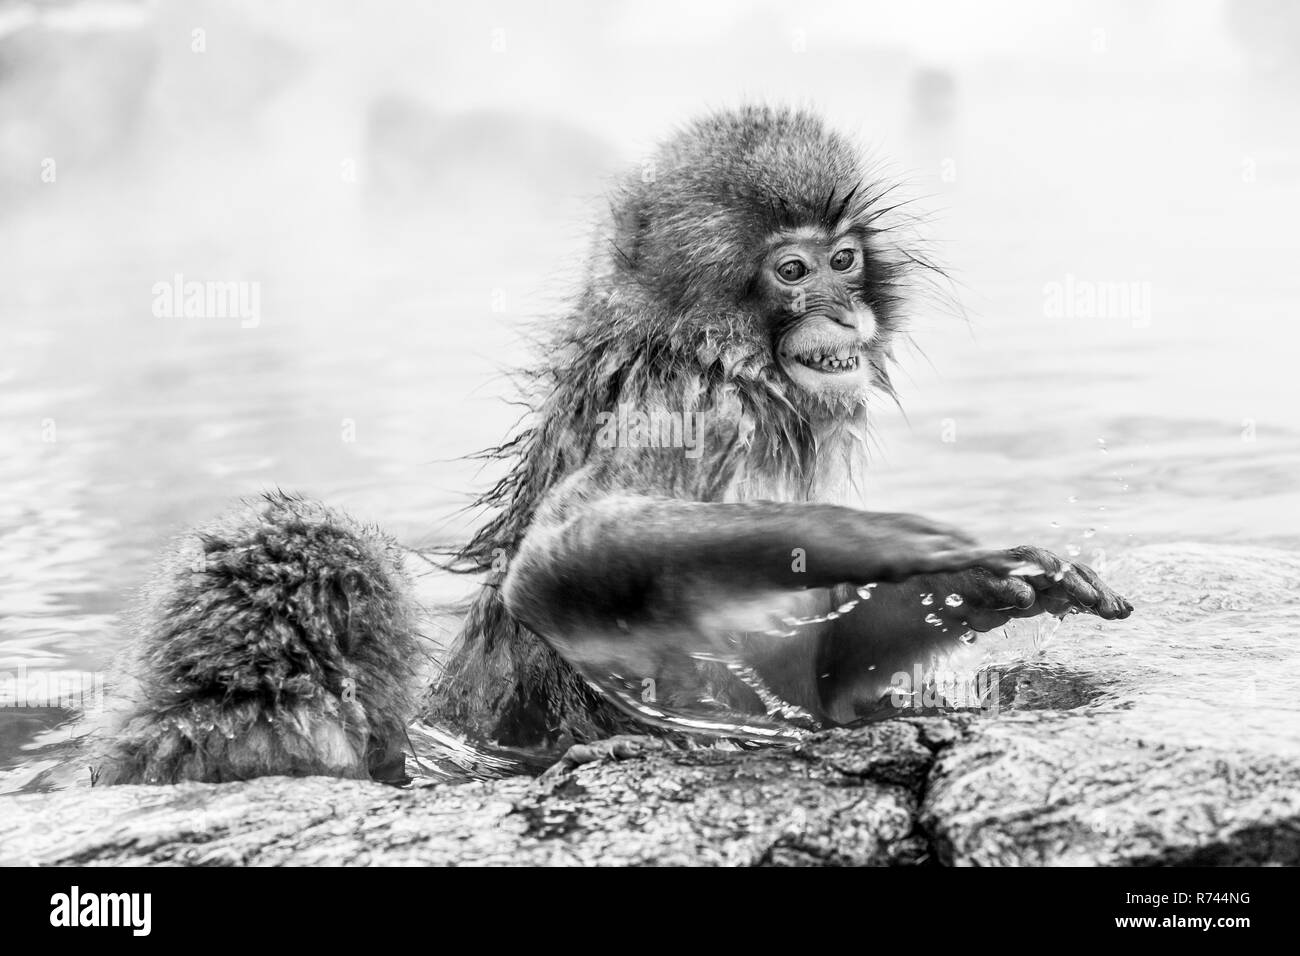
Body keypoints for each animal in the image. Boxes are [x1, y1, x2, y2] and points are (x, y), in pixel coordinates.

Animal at [99, 106, 1130, 785]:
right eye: (792, 271)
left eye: (845, 259)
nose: (843, 309)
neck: (720, 353)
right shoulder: (694, 406)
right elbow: (562, 555)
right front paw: (898, 540)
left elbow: (830, 671)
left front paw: (992, 585)